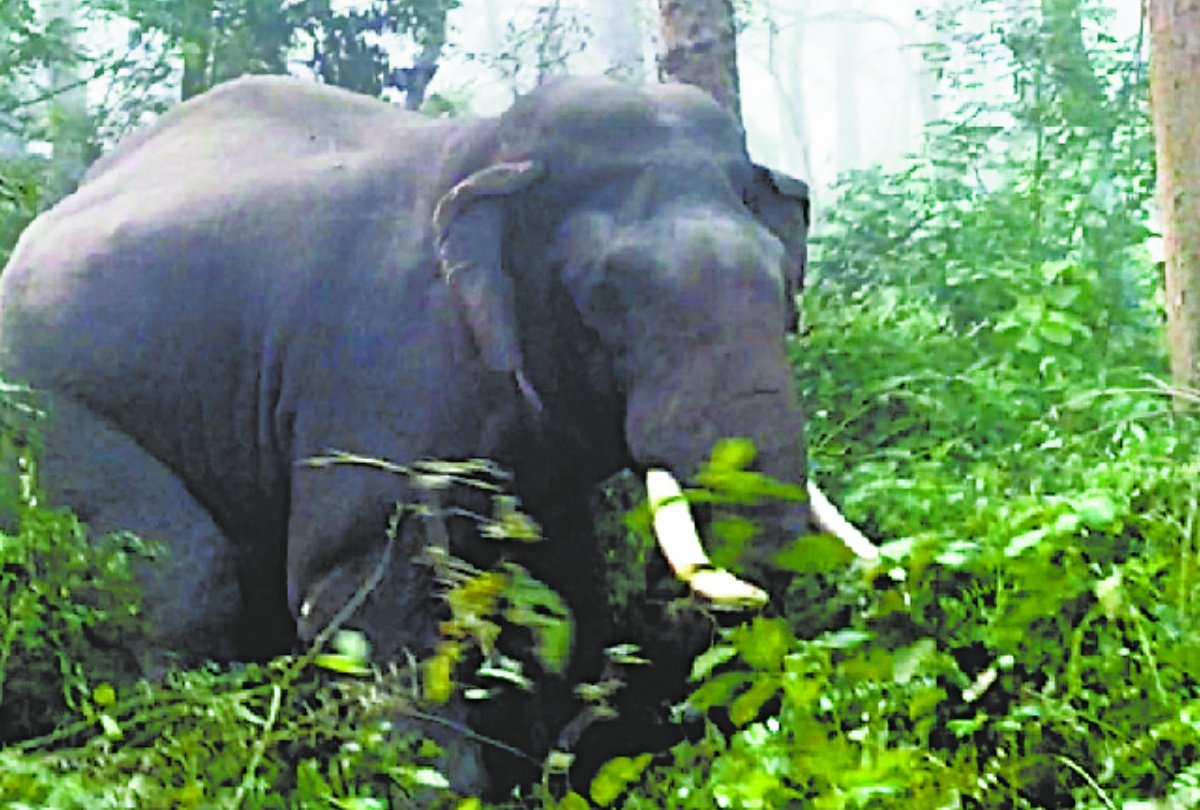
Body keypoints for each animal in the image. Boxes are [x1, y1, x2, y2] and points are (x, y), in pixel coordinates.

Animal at [0, 74, 812, 794]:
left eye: (784, 282)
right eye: (607, 293)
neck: (484, 149)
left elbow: (555, 590)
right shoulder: (381, 371)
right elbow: (360, 584)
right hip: (42, 413)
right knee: (185, 581)